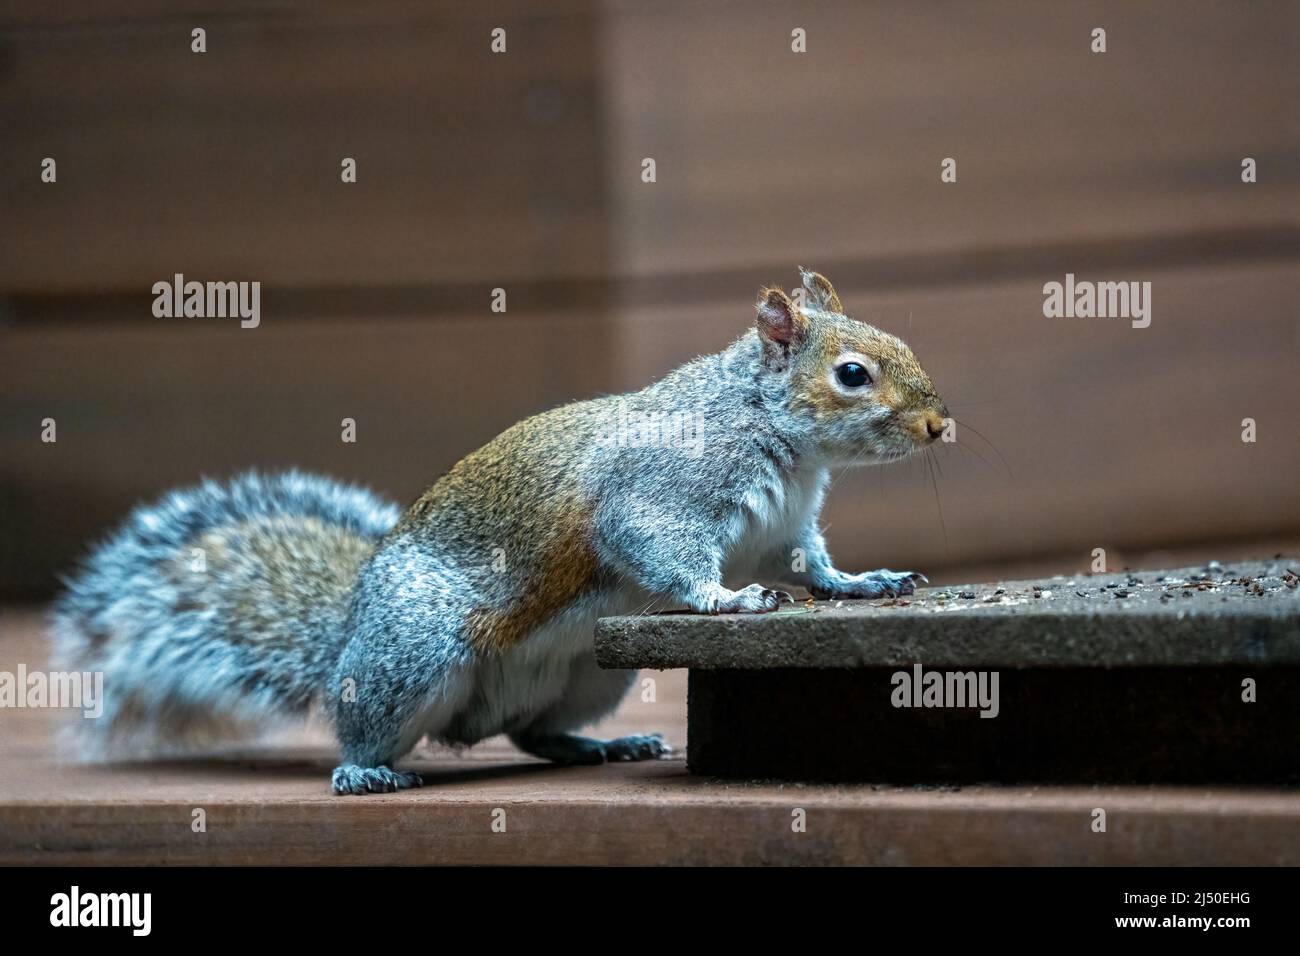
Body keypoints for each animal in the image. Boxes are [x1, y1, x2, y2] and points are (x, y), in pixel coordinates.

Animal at [51, 269, 948, 795]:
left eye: (904, 343)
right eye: (853, 375)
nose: (941, 426)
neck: (777, 434)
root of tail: (345, 635)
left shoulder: (785, 524)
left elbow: (813, 564)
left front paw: (862, 582)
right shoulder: (660, 491)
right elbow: (661, 549)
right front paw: (725, 601)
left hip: (587, 678)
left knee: (531, 732)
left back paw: (601, 748)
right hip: (413, 654)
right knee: (366, 725)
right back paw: (363, 771)